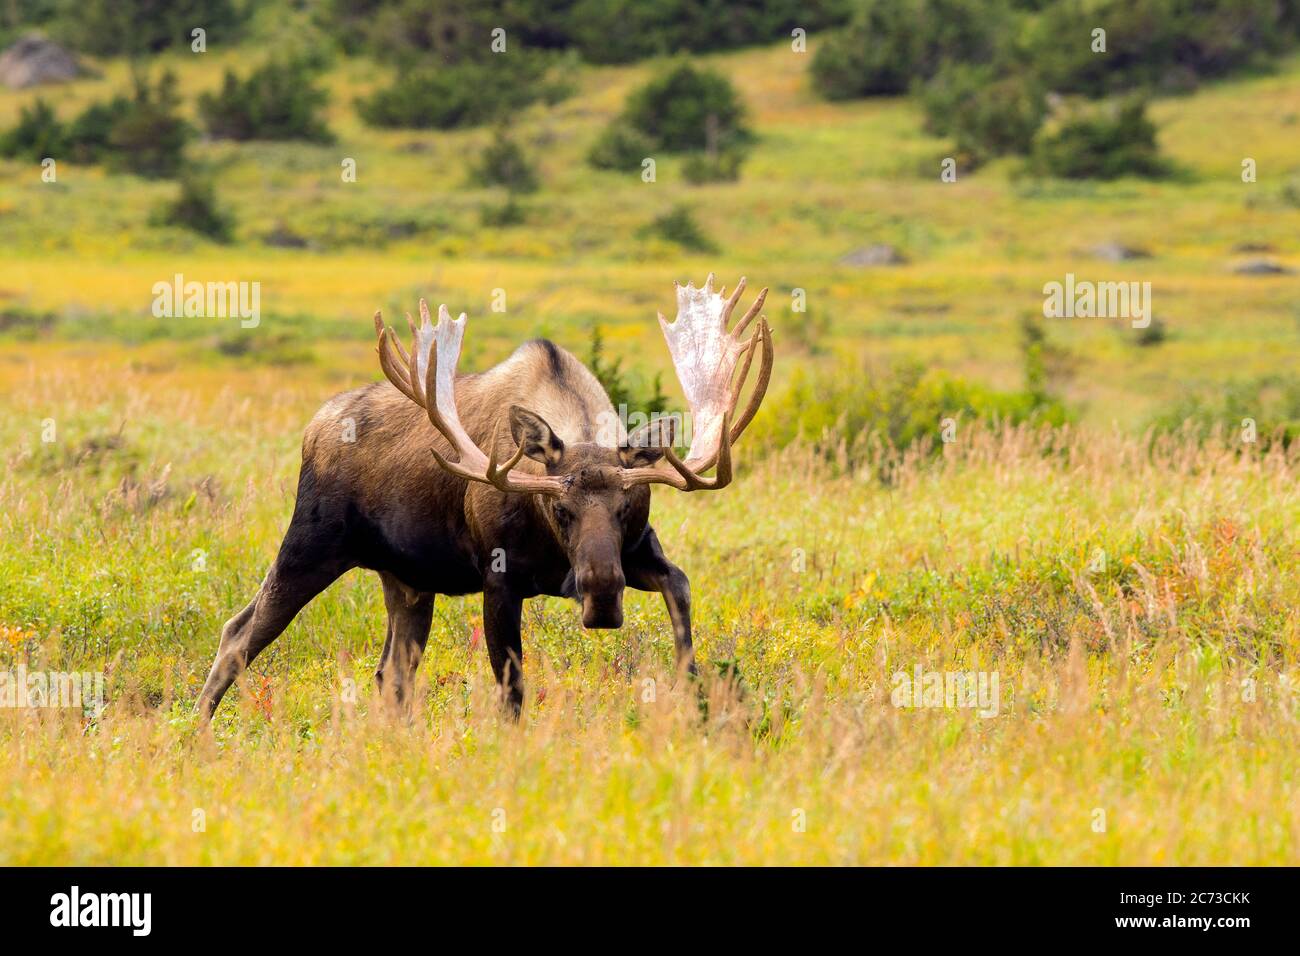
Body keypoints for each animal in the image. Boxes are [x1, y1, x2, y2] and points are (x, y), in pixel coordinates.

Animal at [196, 275, 773, 721]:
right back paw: (195, 735)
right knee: (236, 634)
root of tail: (312, 428)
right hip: (311, 544)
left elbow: (682, 596)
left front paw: (695, 699)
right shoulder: (499, 580)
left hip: (406, 580)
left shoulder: (639, 553)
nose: (602, 595)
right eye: (559, 509)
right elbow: (511, 691)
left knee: (392, 673)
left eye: (627, 507)